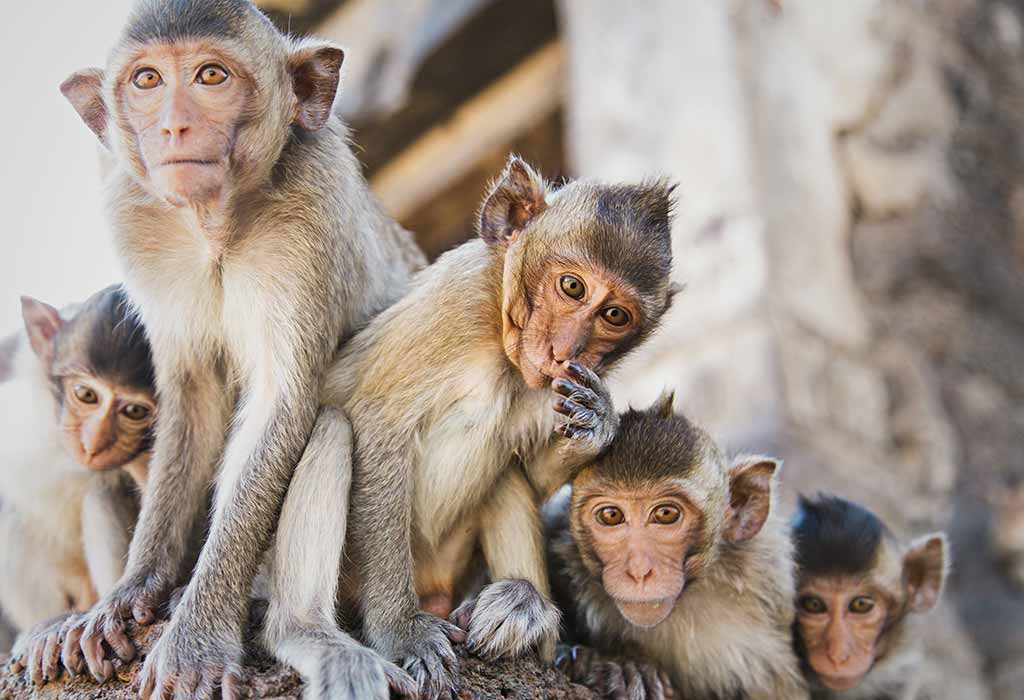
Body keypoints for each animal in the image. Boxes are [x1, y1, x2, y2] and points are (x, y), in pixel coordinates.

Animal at [56, 1, 426, 698]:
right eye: (147, 80)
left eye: (211, 75)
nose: (173, 125)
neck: (215, 226)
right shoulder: (135, 217)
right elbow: (193, 396)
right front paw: (132, 588)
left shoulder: (313, 206)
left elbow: (282, 402)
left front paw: (197, 634)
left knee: (328, 421)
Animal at [255, 155, 677, 700]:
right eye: (572, 287)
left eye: (614, 315)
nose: (566, 351)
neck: (498, 337)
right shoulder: (456, 304)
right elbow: (377, 424)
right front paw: (402, 632)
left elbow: (533, 473)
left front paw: (598, 422)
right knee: (333, 426)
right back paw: (309, 632)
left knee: (507, 476)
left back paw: (530, 620)